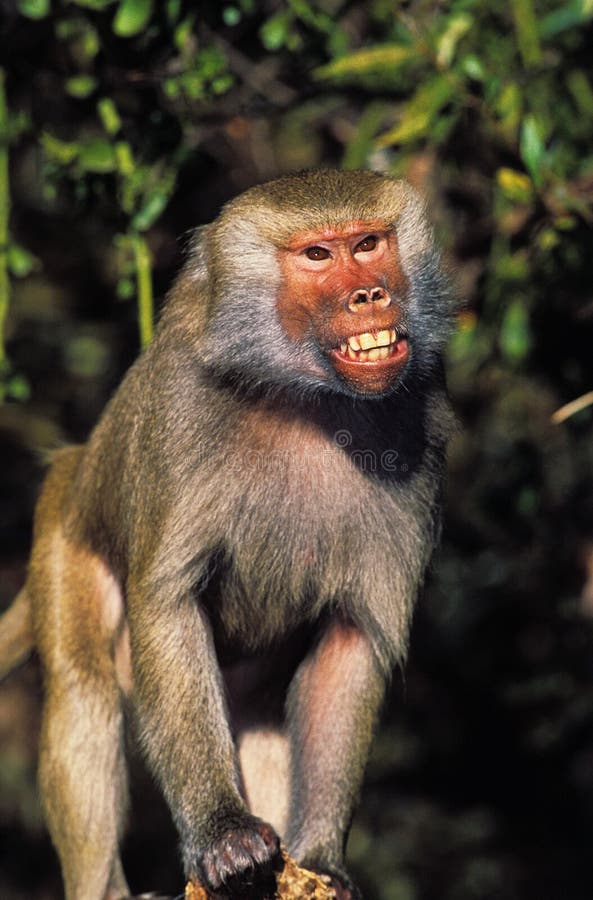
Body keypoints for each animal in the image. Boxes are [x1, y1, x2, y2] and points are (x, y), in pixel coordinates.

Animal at [0, 169, 456, 900]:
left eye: (368, 243)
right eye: (317, 256)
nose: (369, 295)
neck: (302, 398)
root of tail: (76, 464)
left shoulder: (422, 424)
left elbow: (352, 640)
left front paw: (323, 861)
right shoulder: (180, 411)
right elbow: (166, 605)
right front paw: (224, 837)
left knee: (262, 722)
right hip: (65, 534)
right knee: (84, 694)